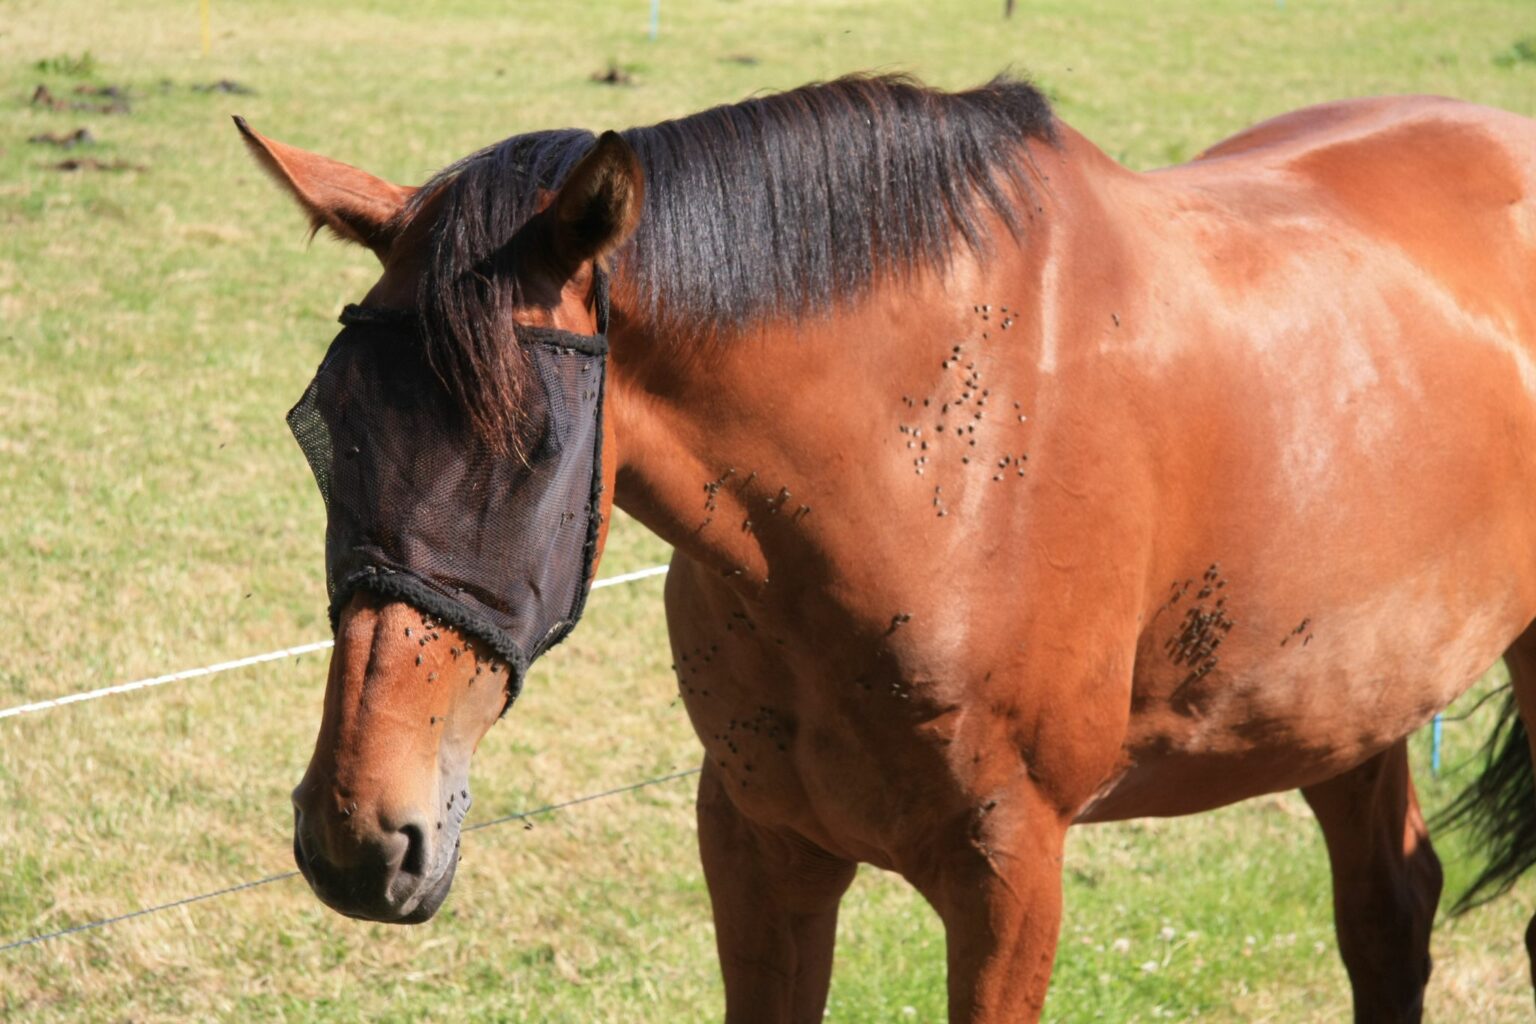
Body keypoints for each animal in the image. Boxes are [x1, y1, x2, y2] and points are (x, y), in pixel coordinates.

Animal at [237, 74, 1536, 1021]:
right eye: (325, 422)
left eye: (532, 446)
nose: (358, 835)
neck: (921, 479)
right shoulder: (759, 840)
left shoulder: (1010, 870)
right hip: (1345, 705)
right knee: (1389, 915)